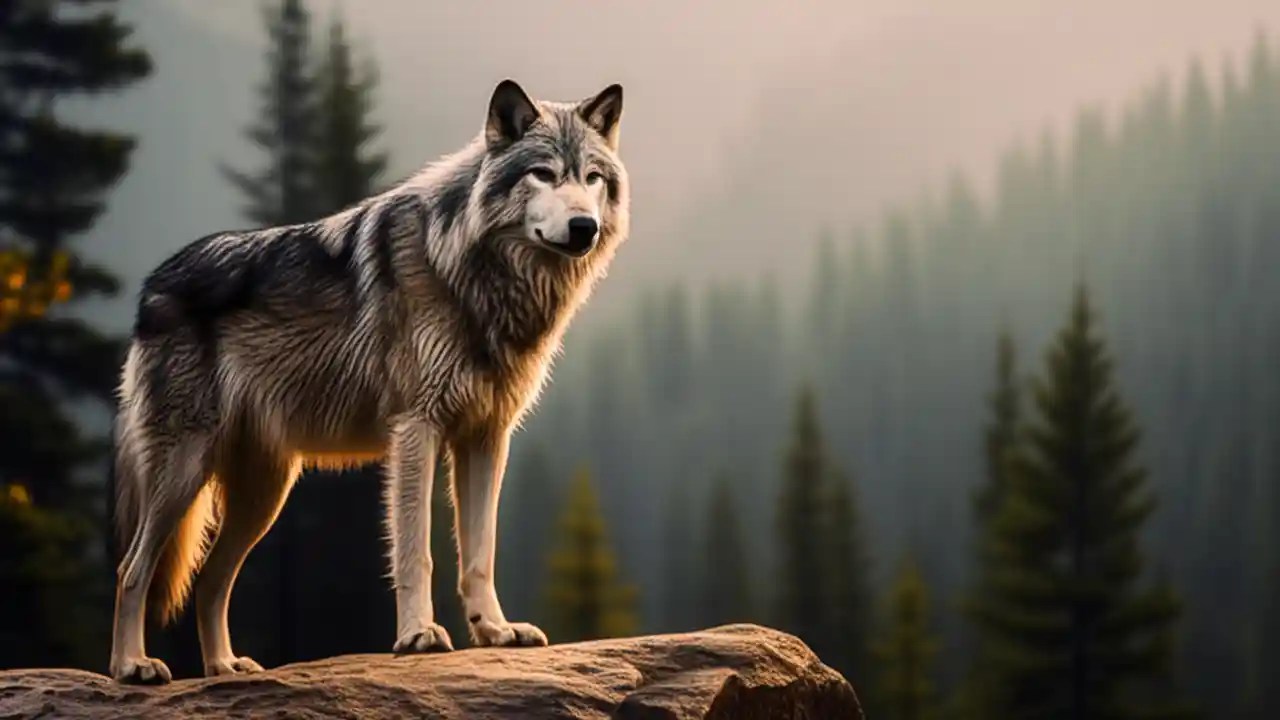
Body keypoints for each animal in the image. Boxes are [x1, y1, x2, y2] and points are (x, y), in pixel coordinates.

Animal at [108, 80, 628, 684]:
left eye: (592, 178)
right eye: (543, 173)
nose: (584, 227)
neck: (471, 270)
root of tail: (151, 287)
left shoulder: (486, 438)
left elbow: (480, 552)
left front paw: (495, 631)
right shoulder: (416, 429)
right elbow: (416, 550)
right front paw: (419, 635)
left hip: (265, 494)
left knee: (211, 580)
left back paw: (225, 667)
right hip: (183, 473)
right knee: (132, 568)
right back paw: (131, 666)